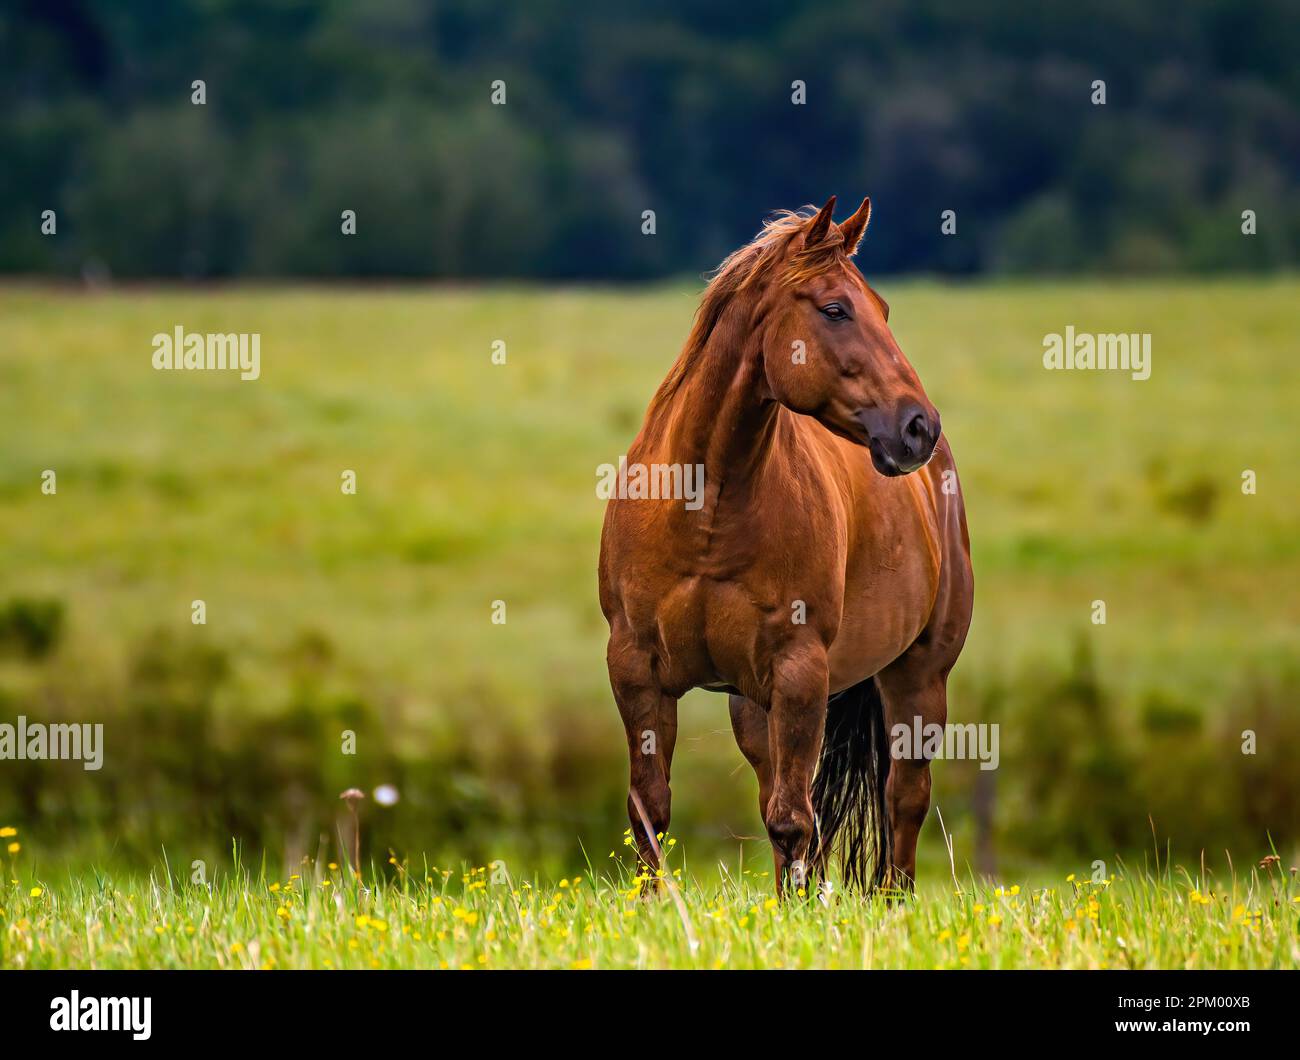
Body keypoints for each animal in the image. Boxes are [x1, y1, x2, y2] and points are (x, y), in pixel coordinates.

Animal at [598, 196, 973, 895]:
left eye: (882, 308)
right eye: (835, 309)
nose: (918, 427)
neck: (706, 510)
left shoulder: (801, 671)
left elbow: (793, 821)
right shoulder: (637, 669)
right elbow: (651, 813)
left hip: (918, 677)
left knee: (902, 801)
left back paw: (893, 904)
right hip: (754, 705)